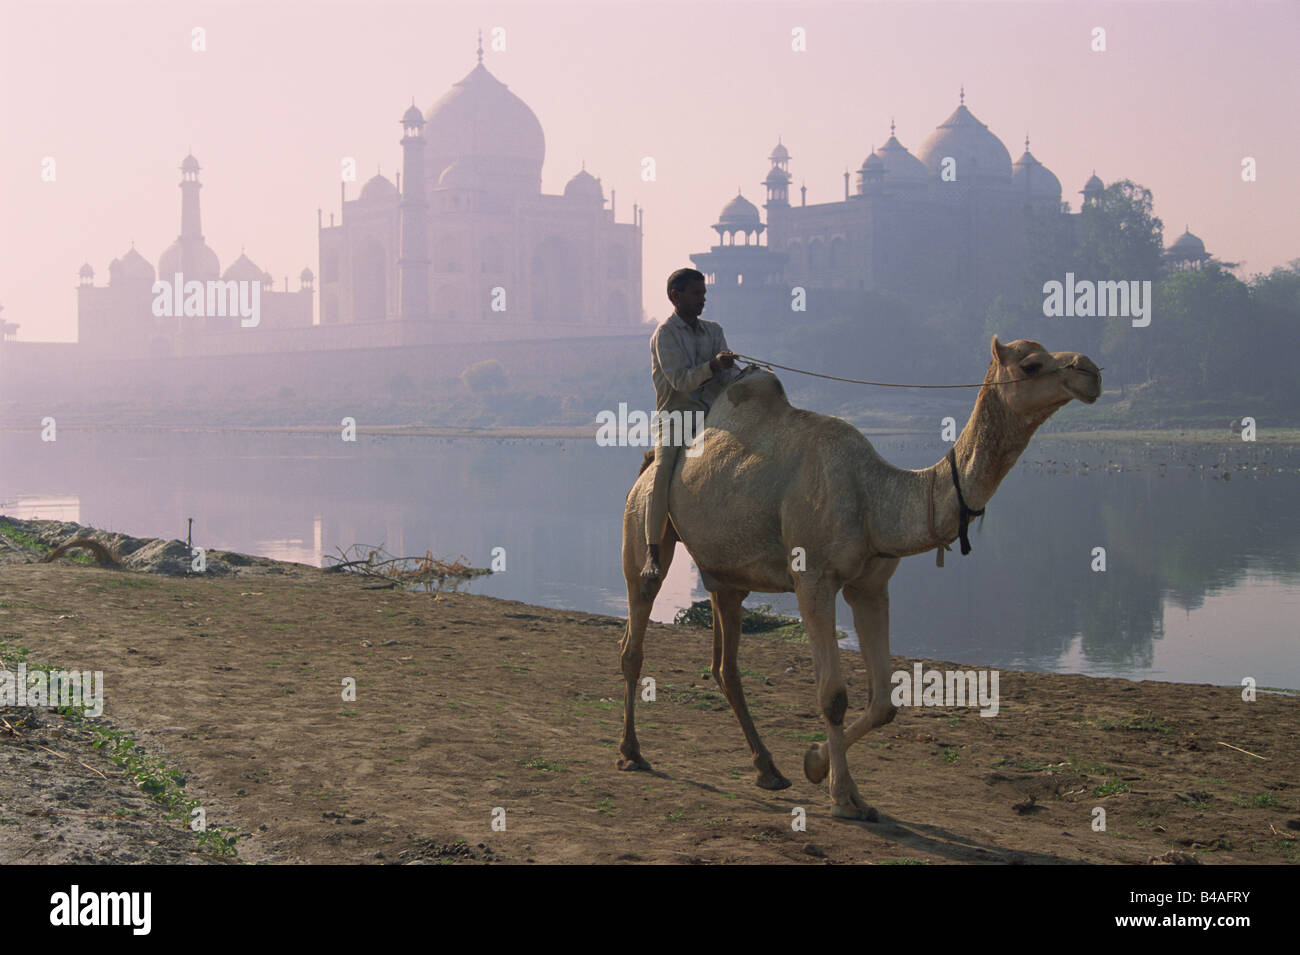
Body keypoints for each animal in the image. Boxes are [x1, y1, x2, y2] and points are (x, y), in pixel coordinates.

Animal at [618, 335, 1100, 819]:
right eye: (1032, 364)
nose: (1090, 372)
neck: (874, 497)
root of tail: (645, 467)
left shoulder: (870, 586)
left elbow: (885, 700)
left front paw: (814, 762)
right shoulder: (813, 579)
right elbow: (832, 696)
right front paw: (844, 795)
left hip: (725, 574)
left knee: (725, 664)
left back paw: (768, 769)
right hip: (645, 519)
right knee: (637, 629)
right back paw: (632, 752)